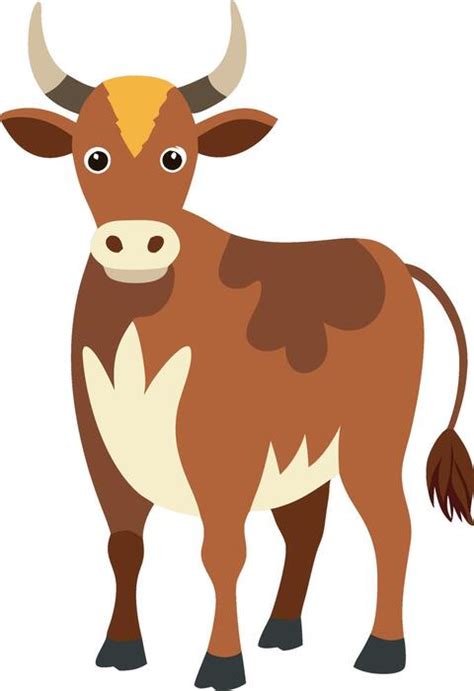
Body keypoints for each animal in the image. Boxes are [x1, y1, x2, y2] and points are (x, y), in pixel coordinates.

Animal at [1, 2, 473, 689]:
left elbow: (222, 553)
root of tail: (389, 259)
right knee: (305, 530)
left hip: (373, 442)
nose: (136, 244)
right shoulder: (101, 450)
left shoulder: (224, 453)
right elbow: (124, 546)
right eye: (93, 157)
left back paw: (383, 650)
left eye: (177, 157)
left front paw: (221, 662)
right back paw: (283, 631)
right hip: (307, 446)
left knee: (392, 528)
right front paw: (121, 648)